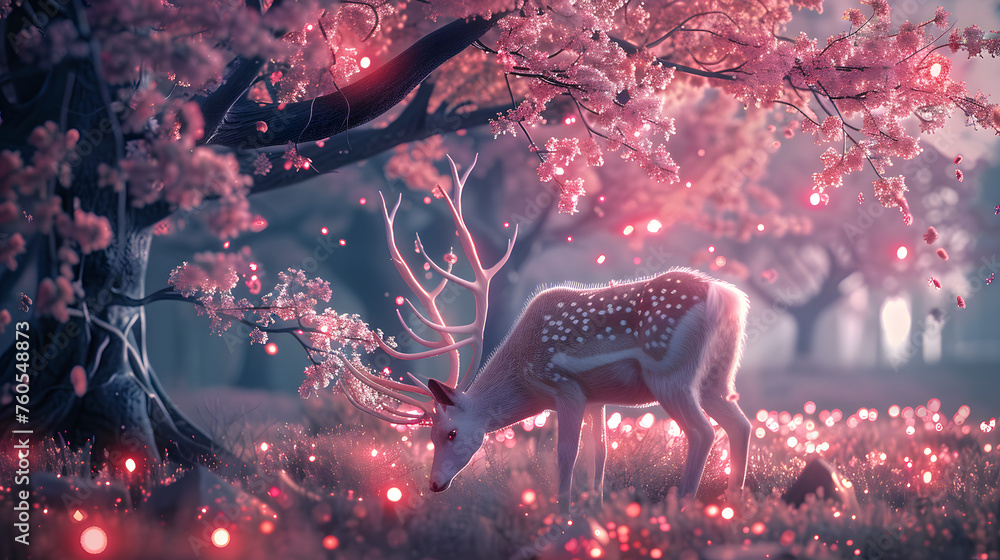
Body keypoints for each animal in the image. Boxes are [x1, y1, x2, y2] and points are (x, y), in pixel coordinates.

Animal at [337, 156, 752, 515]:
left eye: (450, 433)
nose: (435, 485)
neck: (524, 376)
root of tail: (727, 297)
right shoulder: (597, 398)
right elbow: (600, 454)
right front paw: (593, 509)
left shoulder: (565, 386)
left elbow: (566, 453)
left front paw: (561, 517)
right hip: (718, 375)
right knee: (741, 424)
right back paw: (732, 508)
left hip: (670, 373)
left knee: (702, 432)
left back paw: (681, 510)